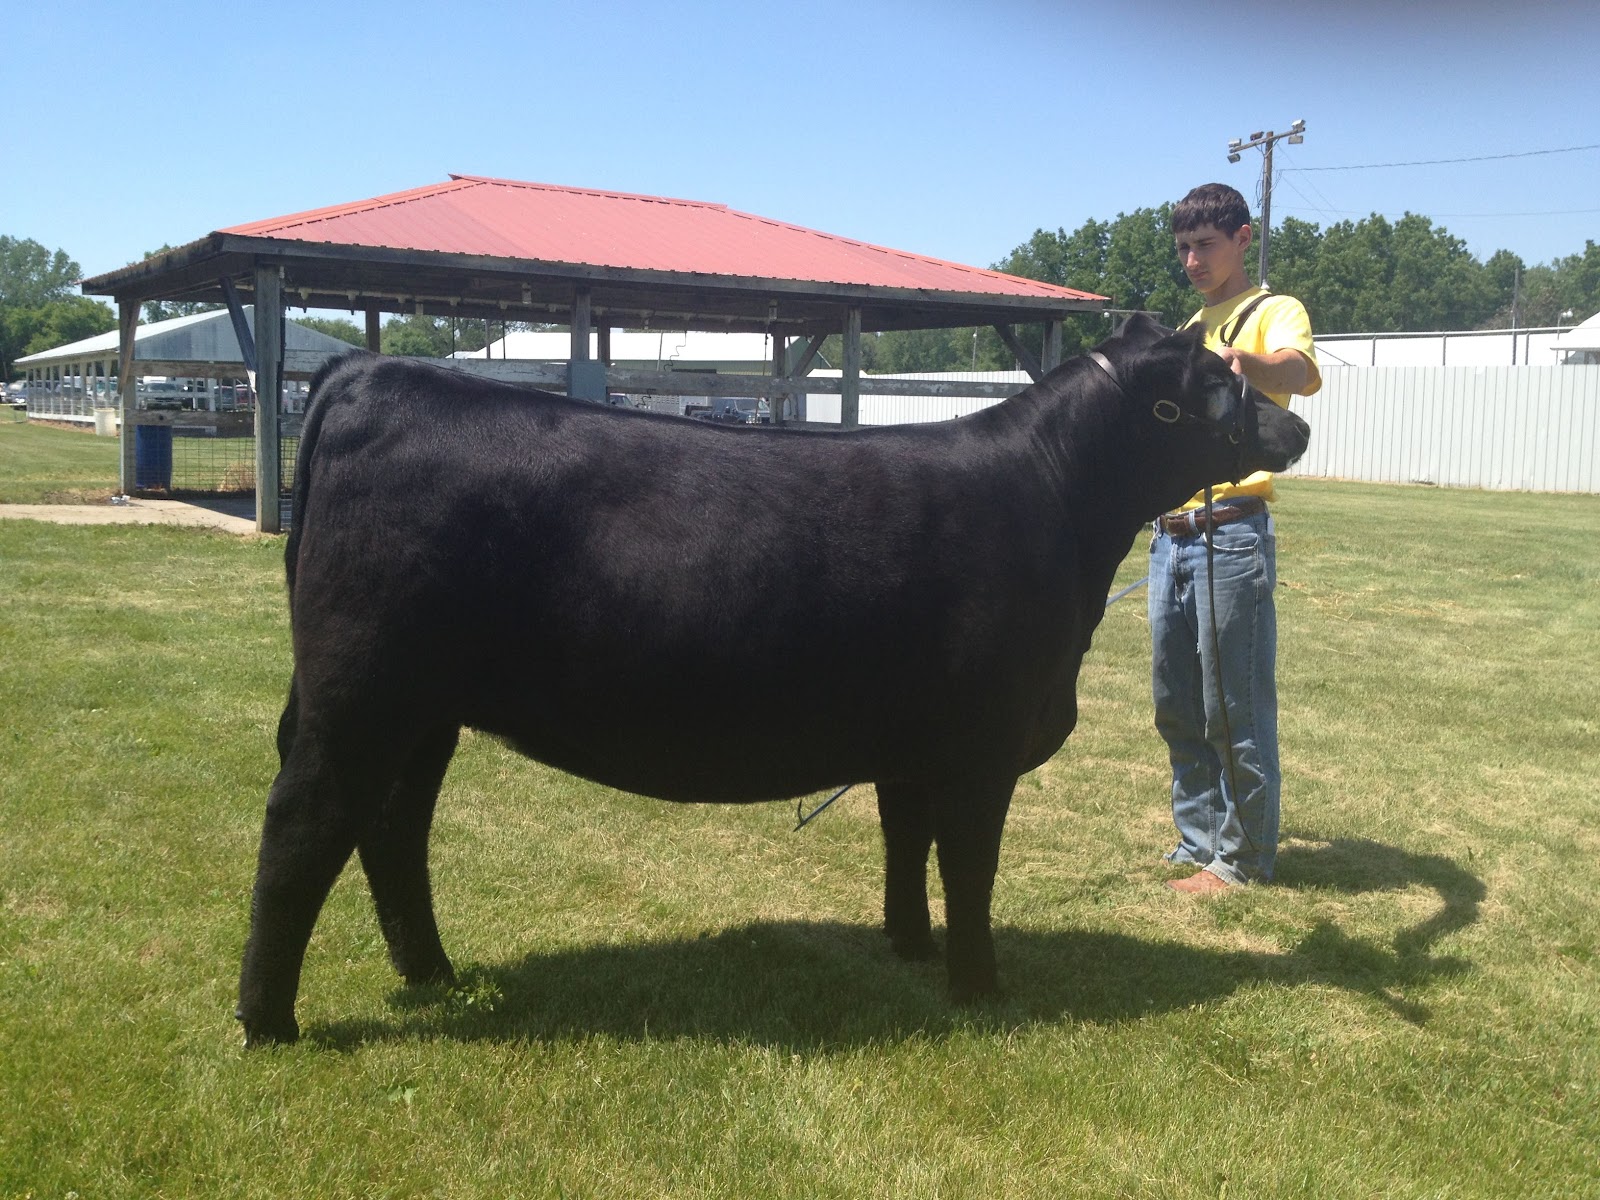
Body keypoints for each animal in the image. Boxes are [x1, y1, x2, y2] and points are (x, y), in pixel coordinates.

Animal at [237, 314, 1310, 1046]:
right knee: (304, 824)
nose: (1293, 434)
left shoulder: (911, 743)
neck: (1055, 496)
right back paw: (269, 1022)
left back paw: (432, 972)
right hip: (363, 694)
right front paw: (980, 986)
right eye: (1210, 386)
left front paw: (910, 947)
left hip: (423, 711)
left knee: (392, 827)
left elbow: (904, 843)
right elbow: (968, 865)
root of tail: (373, 373)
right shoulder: (981, 745)